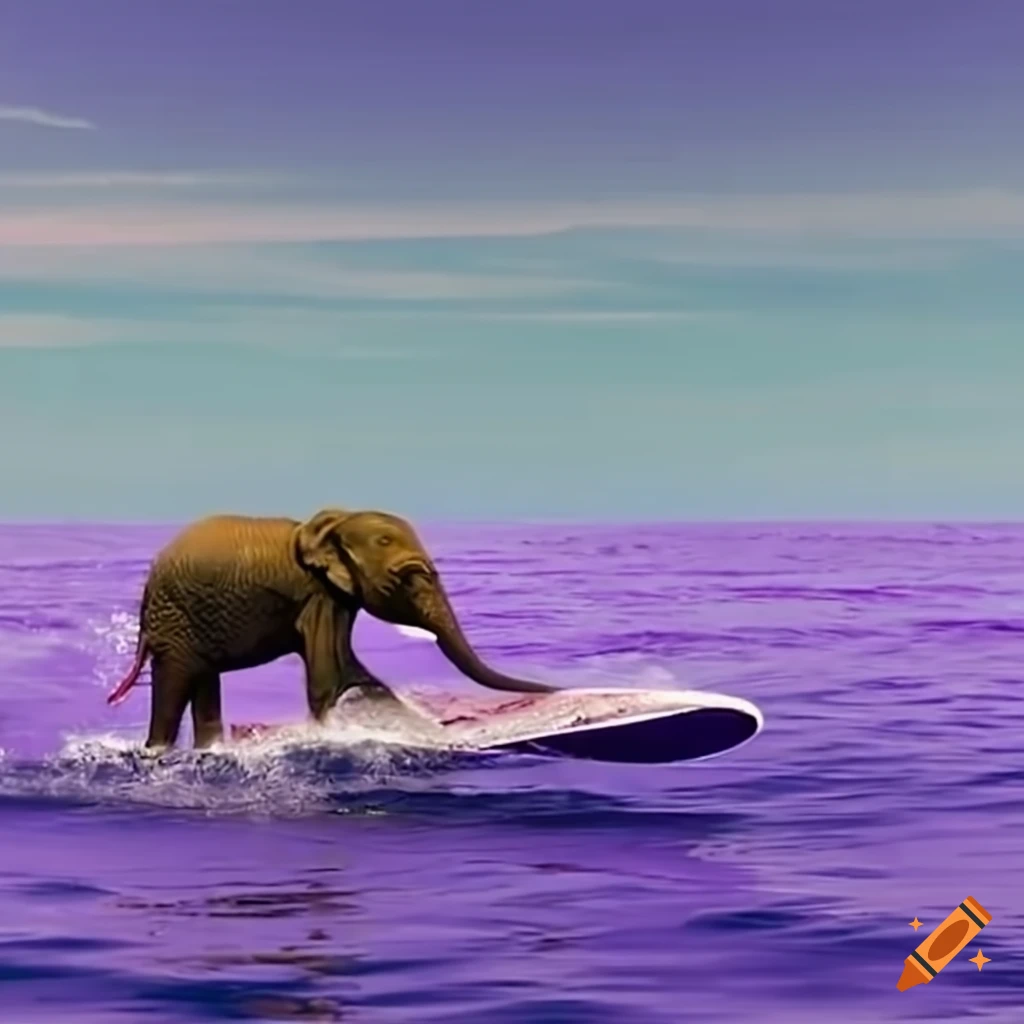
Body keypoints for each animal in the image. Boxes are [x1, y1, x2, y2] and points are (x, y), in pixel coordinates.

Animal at [106, 507, 556, 749]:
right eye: (408, 579)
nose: (555, 690)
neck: (333, 522)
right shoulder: (318, 596)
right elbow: (330, 676)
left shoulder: (335, 597)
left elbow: (352, 672)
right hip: (175, 623)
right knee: (176, 685)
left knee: (204, 684)